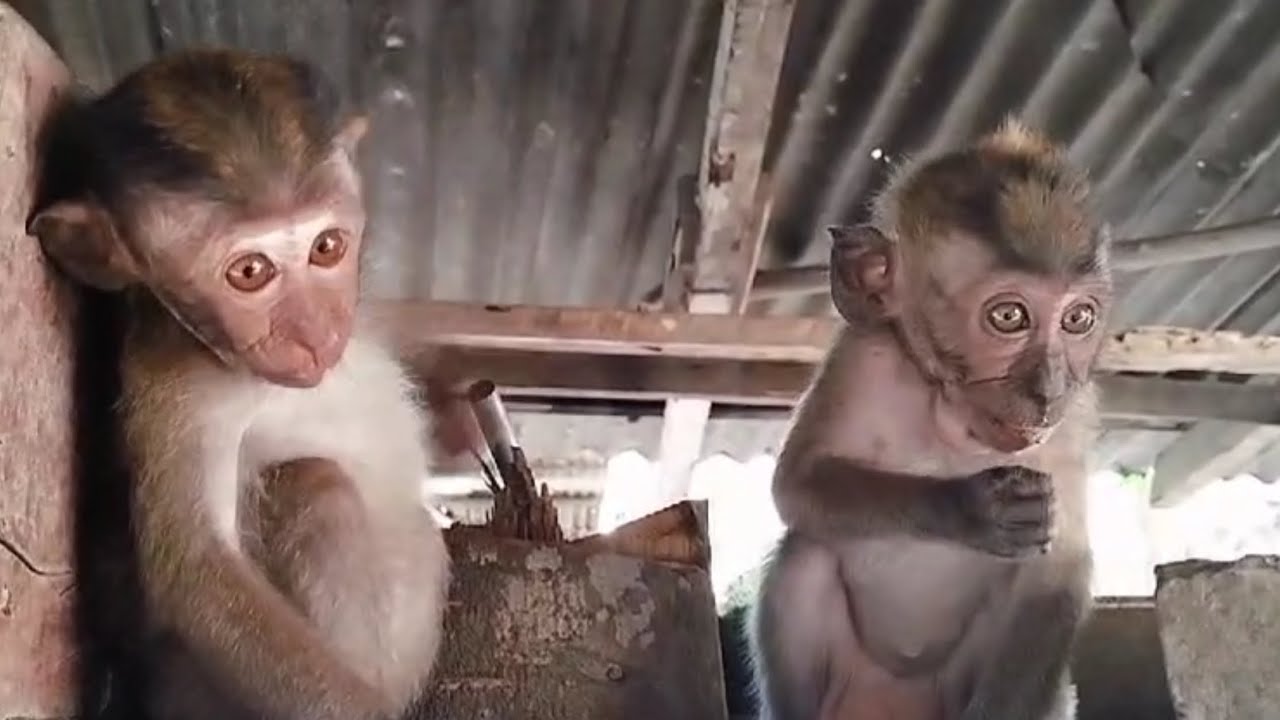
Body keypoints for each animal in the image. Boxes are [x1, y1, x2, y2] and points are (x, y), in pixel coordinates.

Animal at [27, 48, 450, 720]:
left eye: (327, 246)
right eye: (250, 271)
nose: (315, 332)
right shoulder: (173, 391)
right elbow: (199, 570)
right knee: (312, 483)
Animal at [749, 119, 1111, 720]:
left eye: (1078, 318)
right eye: (1009, 316)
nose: (1048, 388)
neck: (947, 413)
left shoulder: (1075, 421)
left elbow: (1057, 574)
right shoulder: (862, 356)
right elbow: (797, 483)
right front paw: (972, 507)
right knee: (806, 555)